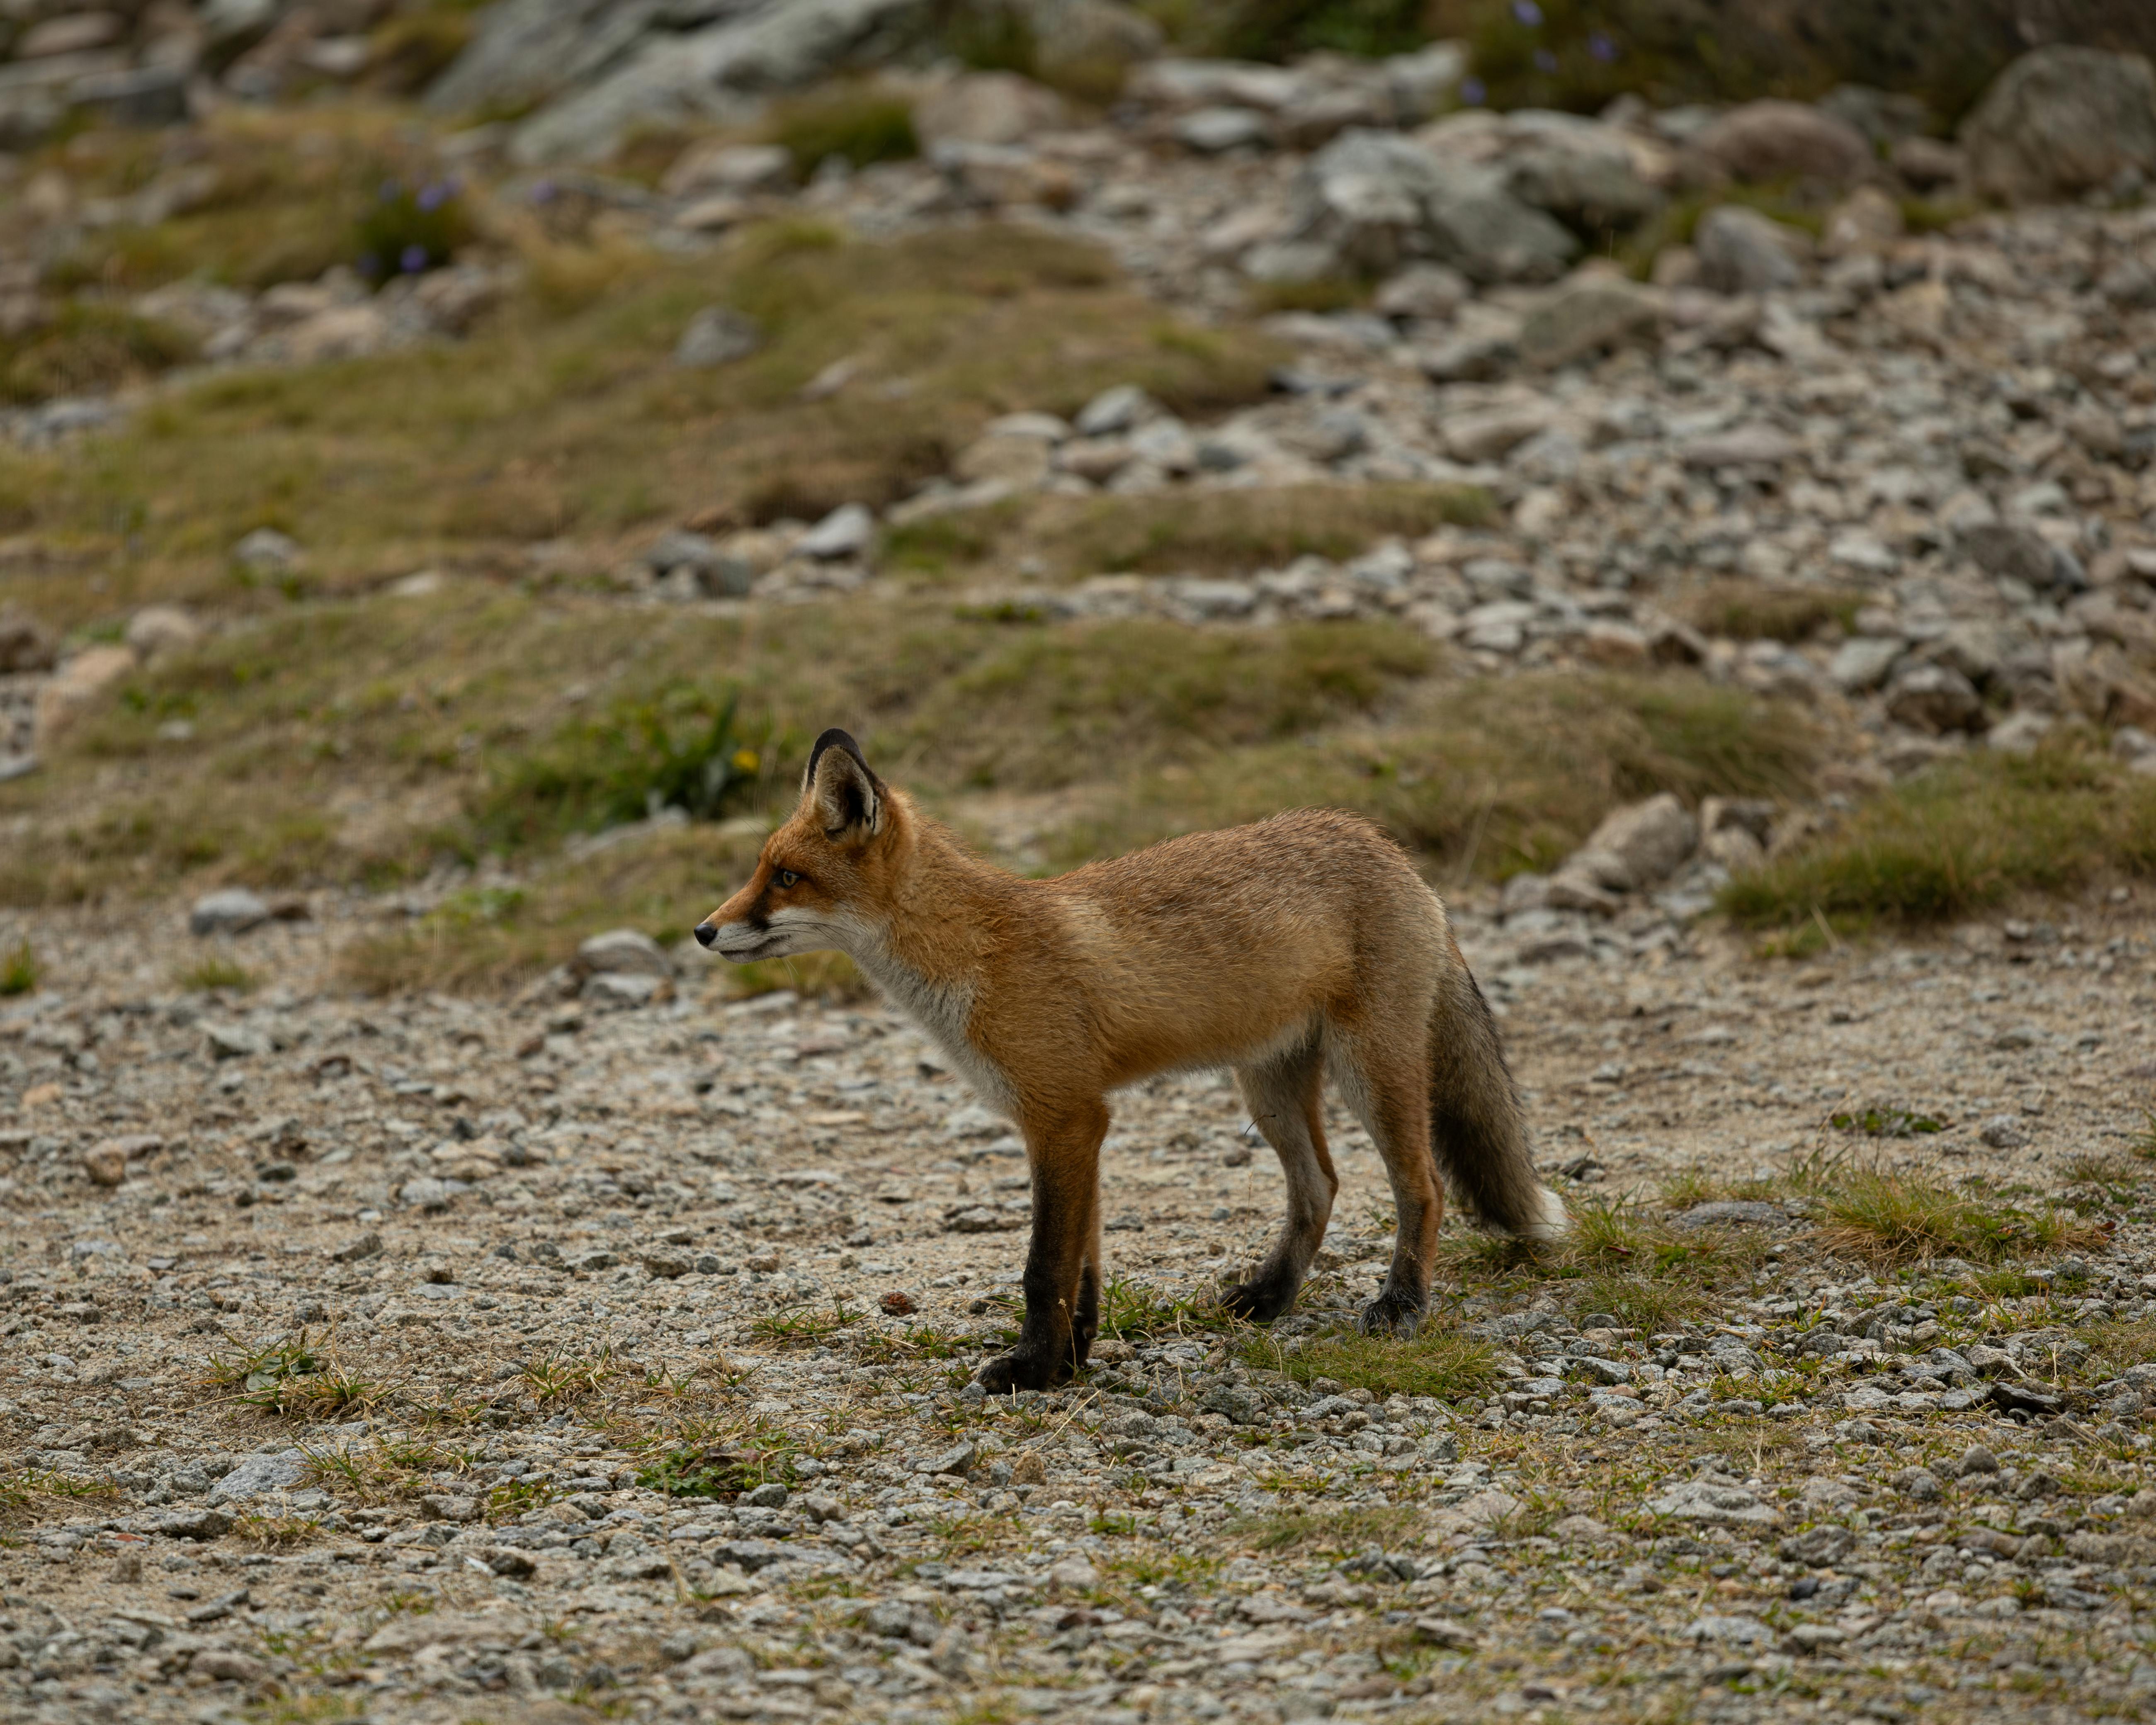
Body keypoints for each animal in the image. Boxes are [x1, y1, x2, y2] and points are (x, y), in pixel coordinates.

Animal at [694, 728, 1566, 1393]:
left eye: (787, 878)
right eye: (760, 871)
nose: (703, 931)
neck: (978, 957)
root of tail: (1393, 851)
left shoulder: (1066, 1118)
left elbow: (1044, 1269)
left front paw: (1032, 1372)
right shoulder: (1076, 1124)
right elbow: (1083, 1269)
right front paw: (1071, 1361)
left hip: (1370, 1071)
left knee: (1422, 1188)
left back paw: (1403, 1305)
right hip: (1269, 1086)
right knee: (1320, 1186)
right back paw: (1272, 1295)